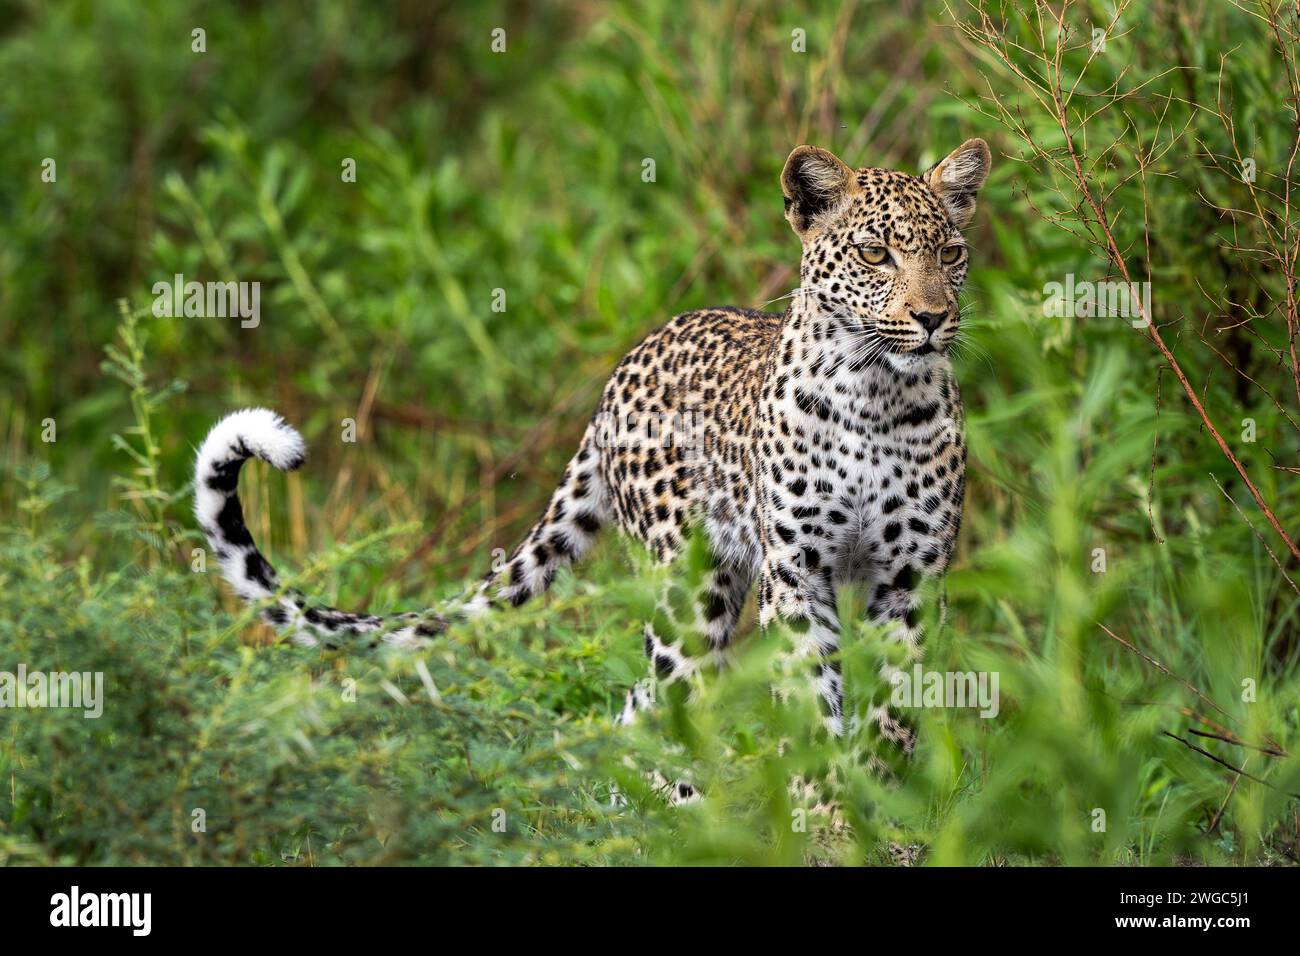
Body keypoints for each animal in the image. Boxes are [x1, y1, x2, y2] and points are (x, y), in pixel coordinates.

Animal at [194, 139, 992, 797]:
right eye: (876, 254)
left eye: (952, 253)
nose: (931, 318)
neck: (876, 395)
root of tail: (622, 369)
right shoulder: (796, 571)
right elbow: (808, 705)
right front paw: (824, 811)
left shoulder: (910, 578)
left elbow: (892, 711)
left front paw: (874, 805)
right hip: (690, 585)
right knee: (666, 700)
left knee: (641, 705)